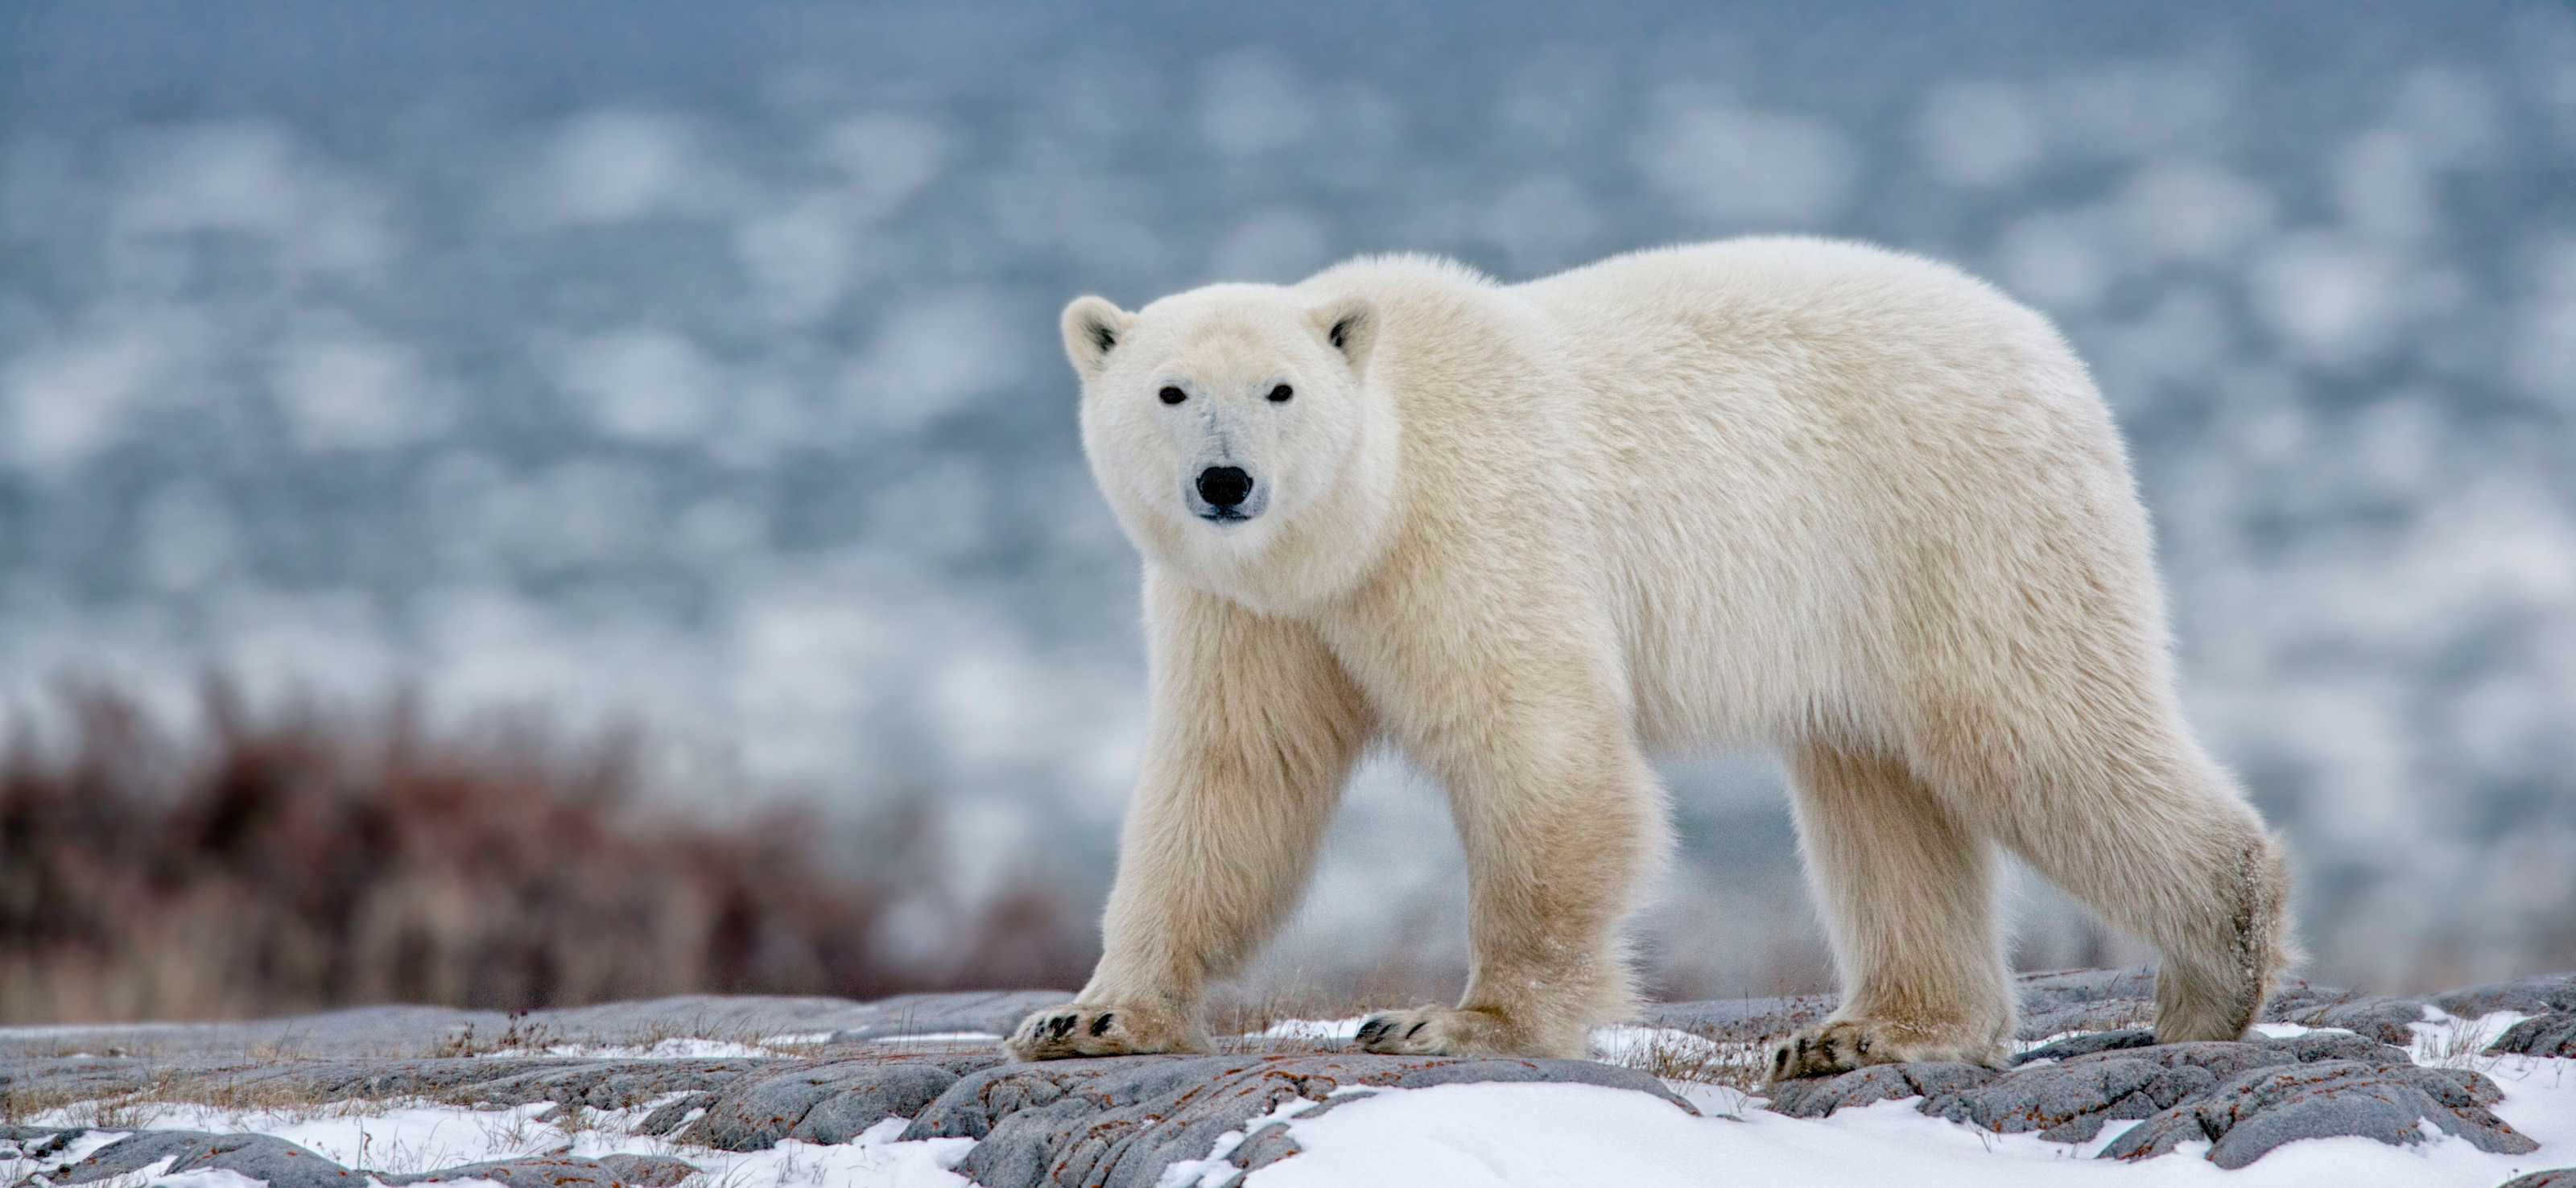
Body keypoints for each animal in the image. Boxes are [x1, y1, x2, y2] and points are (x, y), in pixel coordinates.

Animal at [1006, 237, 2294, 1078]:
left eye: (1278, 389)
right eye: (1171, 391)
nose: (1227, 483)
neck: (1366, 510)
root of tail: (2050, 352)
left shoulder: (1472, 532)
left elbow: (1539, 753)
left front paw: (1449, 1023)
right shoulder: (1250, 609)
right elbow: (1233, 781)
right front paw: (1089, 1018)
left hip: (1957, 525)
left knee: (2036, 731)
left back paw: (2215, 969)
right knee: (1880, 791)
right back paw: (1866, 1030)